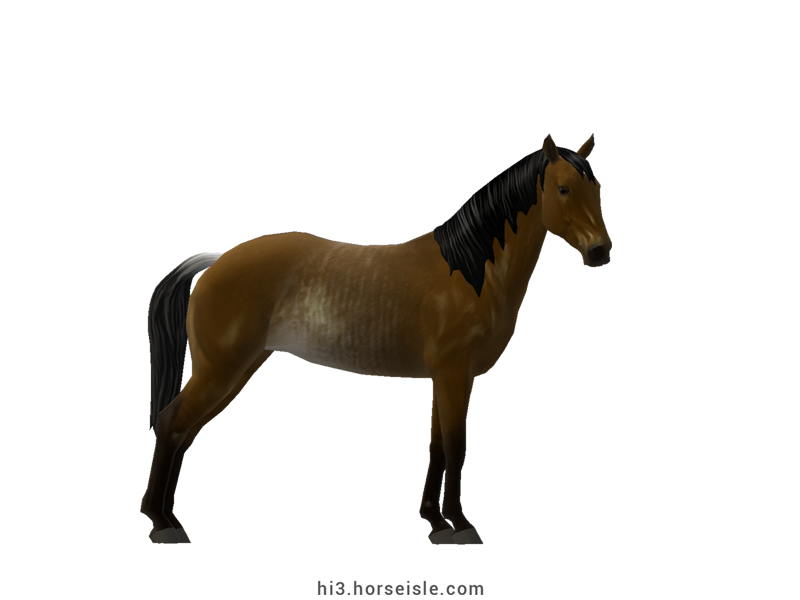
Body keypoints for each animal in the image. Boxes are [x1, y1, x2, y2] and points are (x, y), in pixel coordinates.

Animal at [142, 134, 611, 539]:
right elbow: (456, 445)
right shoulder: (453, 371)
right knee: (171, 424)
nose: (599, 250)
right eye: (564, 188)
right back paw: (160, 521)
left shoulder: (444, 374)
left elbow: (438, 446)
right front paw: (460, 523)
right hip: (217, 370)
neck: (471, 271)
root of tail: (212, 264)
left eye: (592, 183)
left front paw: (434, 519)